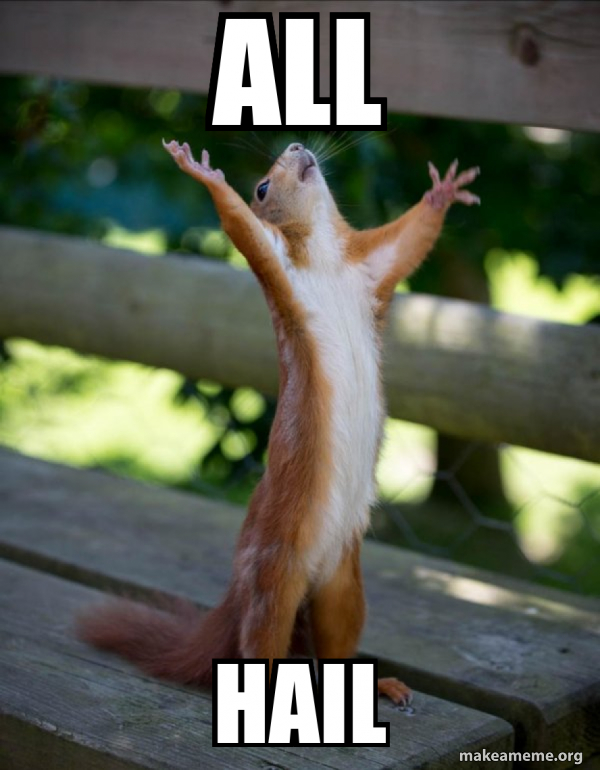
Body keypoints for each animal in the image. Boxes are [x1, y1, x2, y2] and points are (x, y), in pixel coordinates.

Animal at [77, 139, 480, 707]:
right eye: (262, 187)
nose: (295, 146)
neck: (327, 259)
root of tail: (239, 590)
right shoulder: (277, 265)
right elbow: (240, 226)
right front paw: (204, 173)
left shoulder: (372, 267)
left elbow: (410, 239)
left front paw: (442, 191)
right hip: (273, 580)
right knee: (261, 645)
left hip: (344, 588)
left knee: (336, 645)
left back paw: (378, 685)